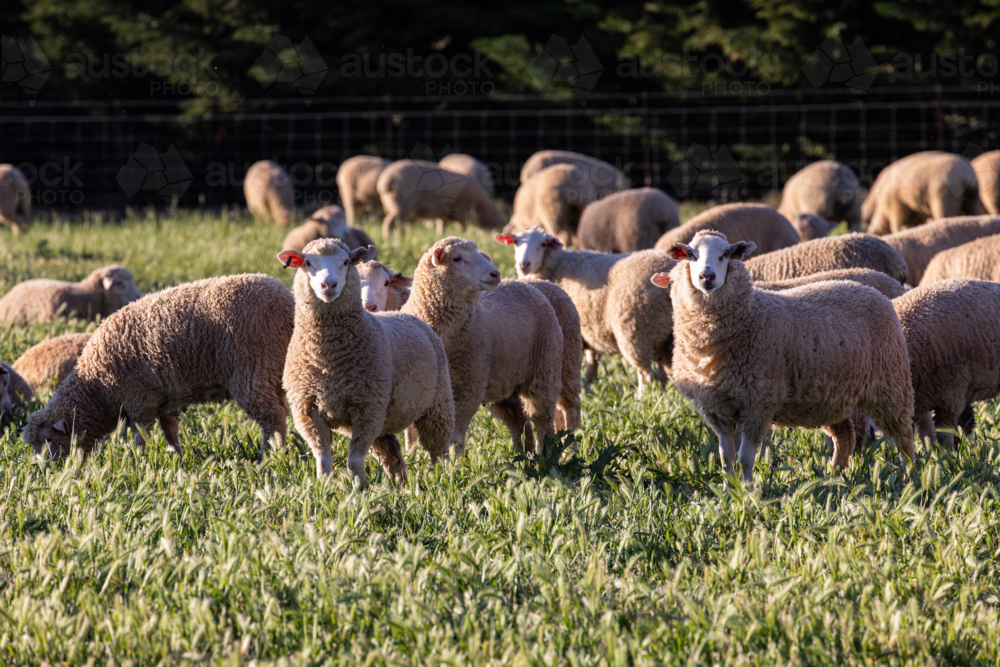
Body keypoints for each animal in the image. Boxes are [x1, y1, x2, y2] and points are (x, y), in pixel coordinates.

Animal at [22, 274, 293, 458]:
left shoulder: (139, 400)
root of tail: (287, 300)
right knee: (281, 411)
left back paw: (269, 456)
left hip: (254, 371)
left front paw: (137, 461)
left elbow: (141, 437)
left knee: (272, 417)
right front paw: (178, 458)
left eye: (48, 439)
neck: (98, 390)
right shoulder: (166, 402)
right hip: (273, 372)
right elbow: (170, 432)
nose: (47, 472)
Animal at [280, 239, 454, 484]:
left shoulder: (367, 411)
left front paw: (360, 489)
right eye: (308, 262)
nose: (328, 284)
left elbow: (353, 461)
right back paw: (400, 485)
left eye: (345, 262)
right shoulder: (308, 411)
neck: (327, 360)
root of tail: (404, 314)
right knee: (392, 455)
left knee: (439, 450)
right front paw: (324, 488)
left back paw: (444, 480)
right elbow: (323, 462)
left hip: (437, 406)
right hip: (384, 420)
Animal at [377, 160, 505, 239]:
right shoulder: (462, 211)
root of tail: (385, 181)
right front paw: (465, 236)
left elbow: (442, 227)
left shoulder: (445, 214)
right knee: (389, 223)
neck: (480, 205)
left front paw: (440, 237)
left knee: (399, 225)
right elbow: (463, 227)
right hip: (401, 206)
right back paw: (388, 238)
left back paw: (401, 237)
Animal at [402, 237, 563, 453]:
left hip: (543, 371)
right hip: (504, 383)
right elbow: (414, 434)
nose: (495, 273)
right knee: (519, 422)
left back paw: (547, 453)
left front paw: (456, 461)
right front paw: (414, 456)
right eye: (457, 258)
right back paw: (525, 456)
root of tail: (523, 283)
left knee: (543, 419)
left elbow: (456, 437)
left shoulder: (469, 387)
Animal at [495, 227, 675, 395]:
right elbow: (591, 369)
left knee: (645, 375)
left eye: (543, 244)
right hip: (666, 336)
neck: (557, 265)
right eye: (516, 242)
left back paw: (642, 399)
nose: (524, 264)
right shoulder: (590, 335)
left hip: (635, 333)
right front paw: (591, 391)